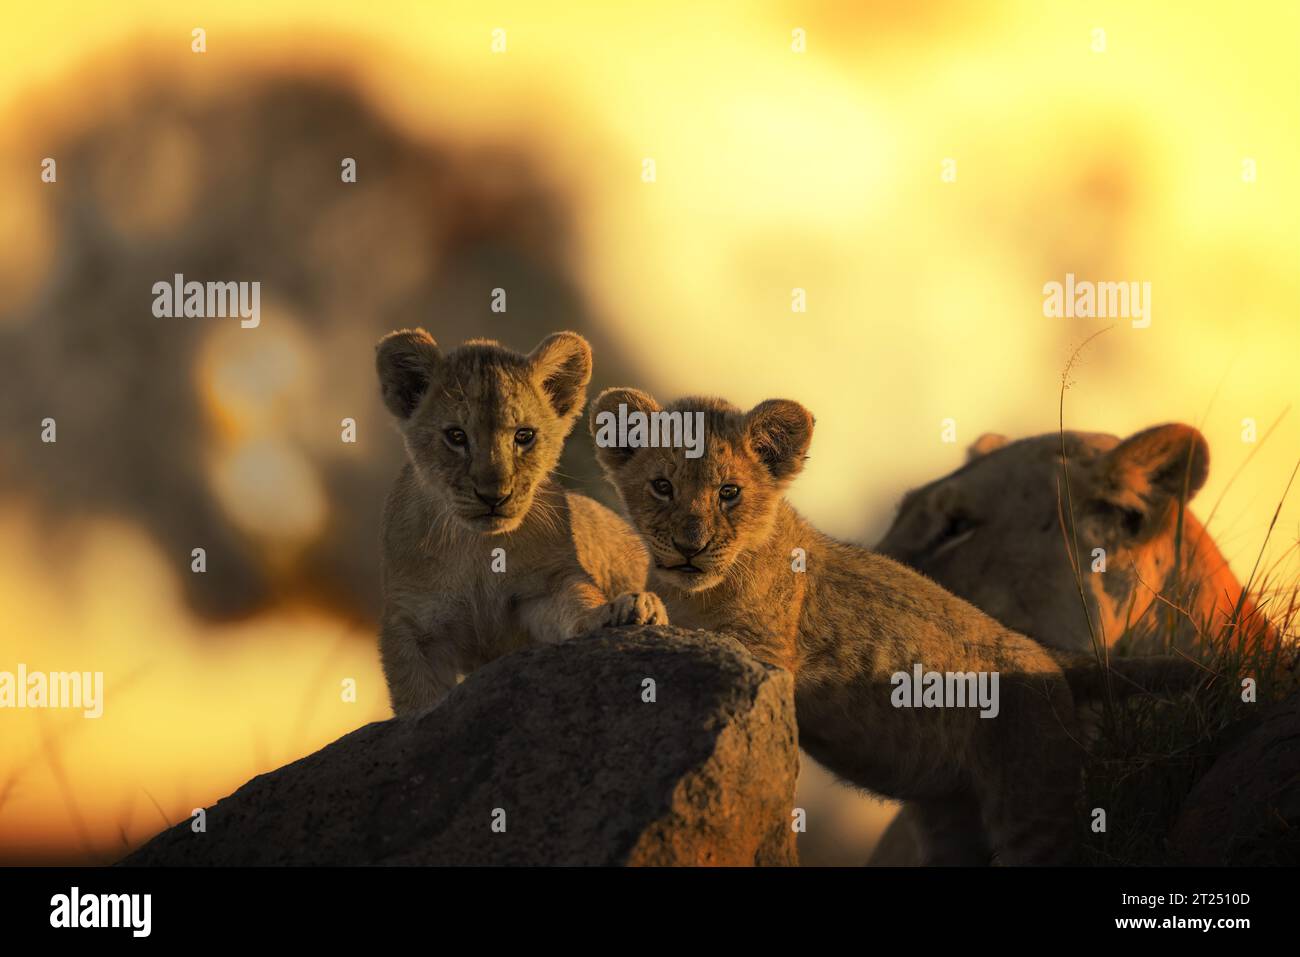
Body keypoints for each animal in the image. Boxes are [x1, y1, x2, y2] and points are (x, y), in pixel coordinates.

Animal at [376, 329, 667, 716]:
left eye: (524, 436)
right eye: (456, 436)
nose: (493, 496)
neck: (479, 549)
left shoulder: (545, 587)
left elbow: (577, 603)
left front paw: (624, 610)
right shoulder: (411, 623)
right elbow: (419, 700)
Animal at [590, 389, 1196, 864]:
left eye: (729, 493)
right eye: (662, 487)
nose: (690, 546)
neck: (698, 588)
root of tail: (1048, 655)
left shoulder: (767, 654)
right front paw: (627, 606)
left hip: (1031, 795)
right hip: (950, 813)